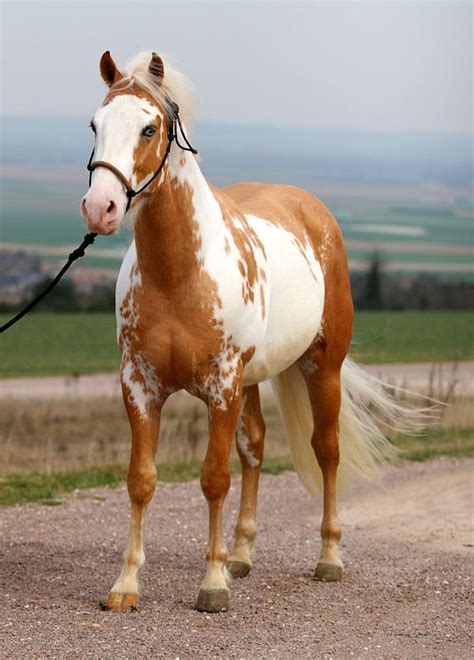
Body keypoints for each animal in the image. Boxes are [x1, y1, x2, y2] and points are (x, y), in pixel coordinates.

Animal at [81, 51, 419, 614]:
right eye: (95, 124)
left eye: (149, 128)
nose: (99, 207)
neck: (178, 275)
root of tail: (312, 210)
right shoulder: (140, 387)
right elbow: (141, 480)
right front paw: (126, 586)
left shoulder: (222, 387)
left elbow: (215, 478)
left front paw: (212, 585)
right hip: (254, 381)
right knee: (255, 449)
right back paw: (240, 553)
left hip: (321, 367)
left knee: (326, 449)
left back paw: (329, 557)